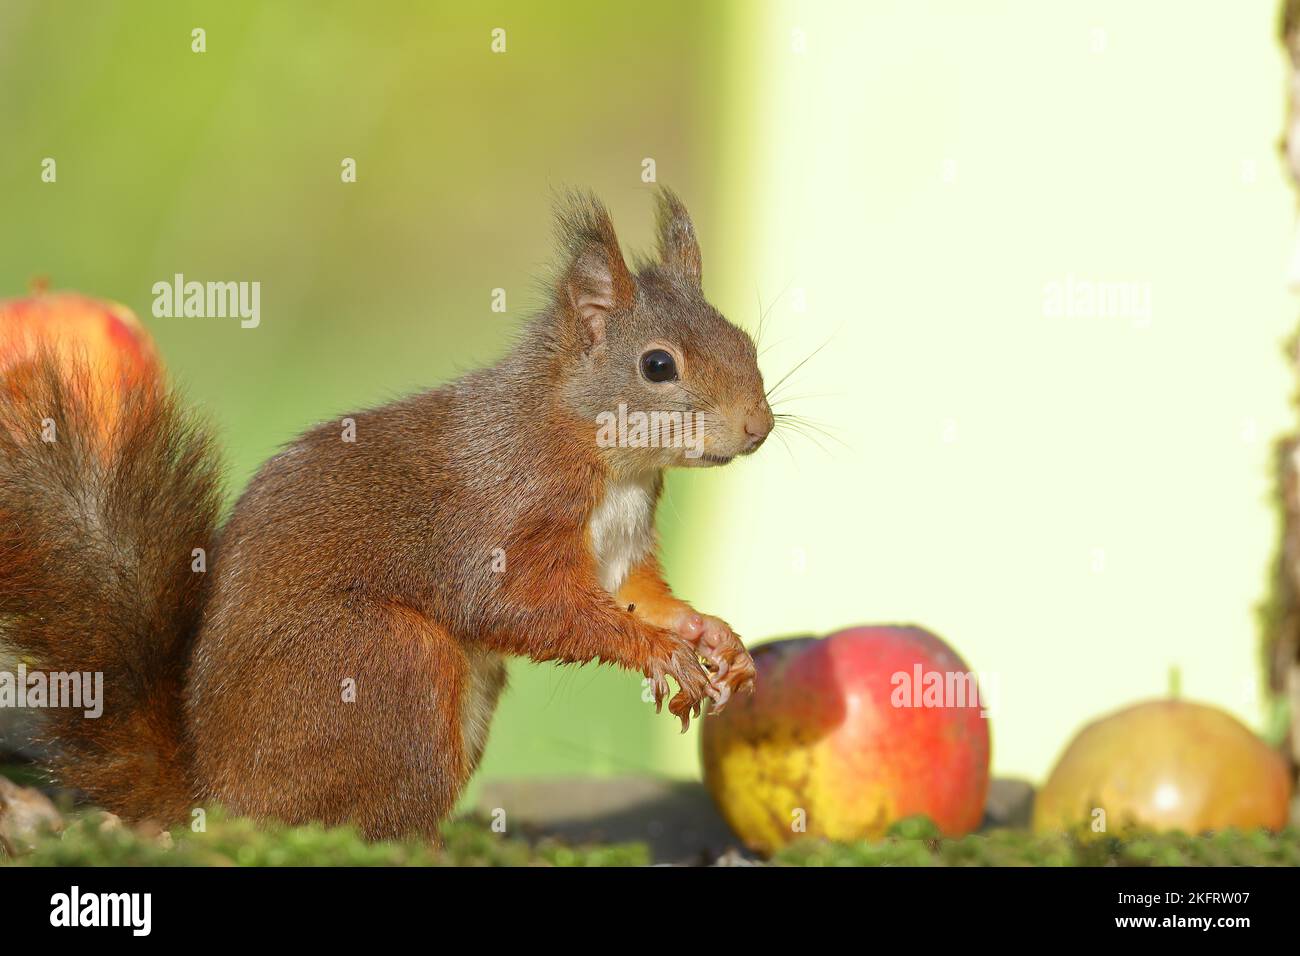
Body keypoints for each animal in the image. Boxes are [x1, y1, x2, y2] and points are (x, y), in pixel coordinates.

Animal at [0, 189, 770, 841]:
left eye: (747, 343)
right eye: (658, 366)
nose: (758, 428)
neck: (610, 461)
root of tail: (217, 796)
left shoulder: (620, 546)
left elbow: (636, 596)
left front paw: (710, 635)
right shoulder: (506, 510)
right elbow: (518, 606)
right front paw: (658, 651)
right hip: (385, 662)